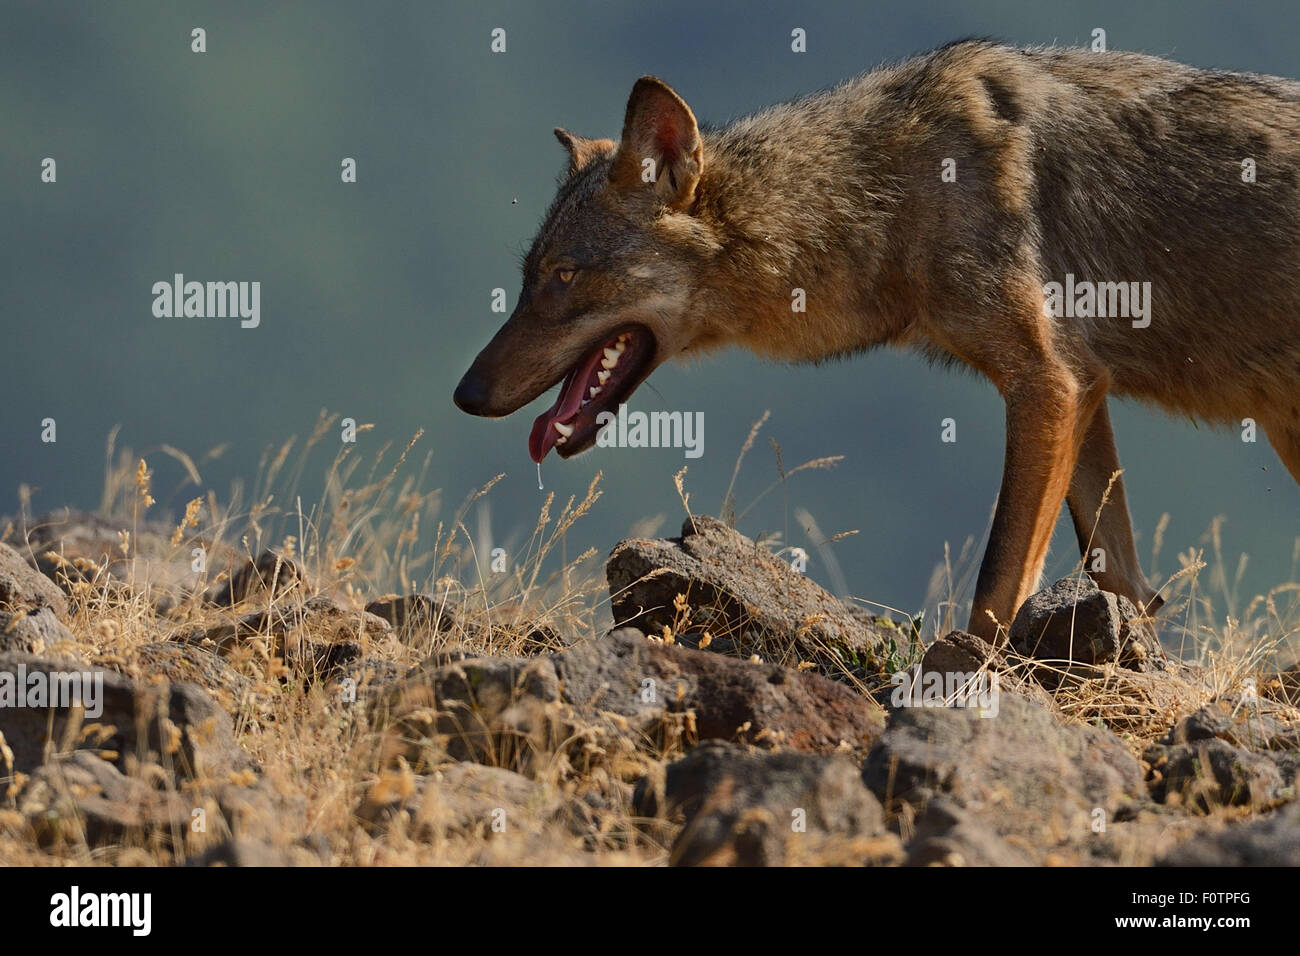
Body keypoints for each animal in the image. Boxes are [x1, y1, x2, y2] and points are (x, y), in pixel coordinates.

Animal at [454, 39, 1300, 643]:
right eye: (527, 278)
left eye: (563, 276)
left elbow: (996, 585)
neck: (890, 190)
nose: (464, 394)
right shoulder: (1083, 388)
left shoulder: (1049, 384)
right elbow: (1124, 578)